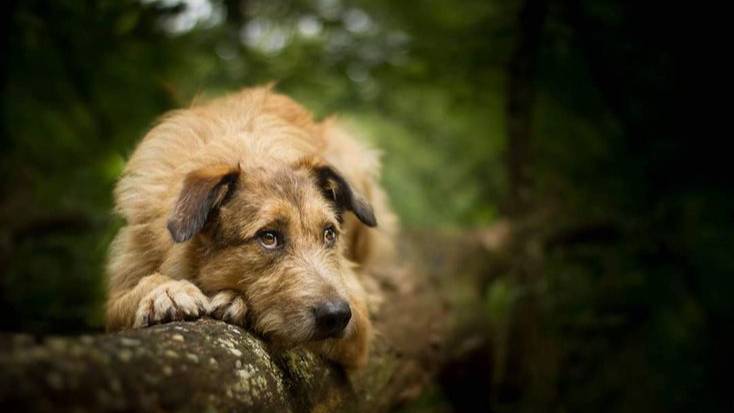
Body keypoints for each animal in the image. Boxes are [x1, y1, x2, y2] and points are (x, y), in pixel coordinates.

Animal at [105, 85, 395, 369]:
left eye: (329, 233)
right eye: (268, 237)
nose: (336, 315)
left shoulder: (355, 320)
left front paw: (236, 300)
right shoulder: (122, 285)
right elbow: (128, 296)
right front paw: (166, 291)